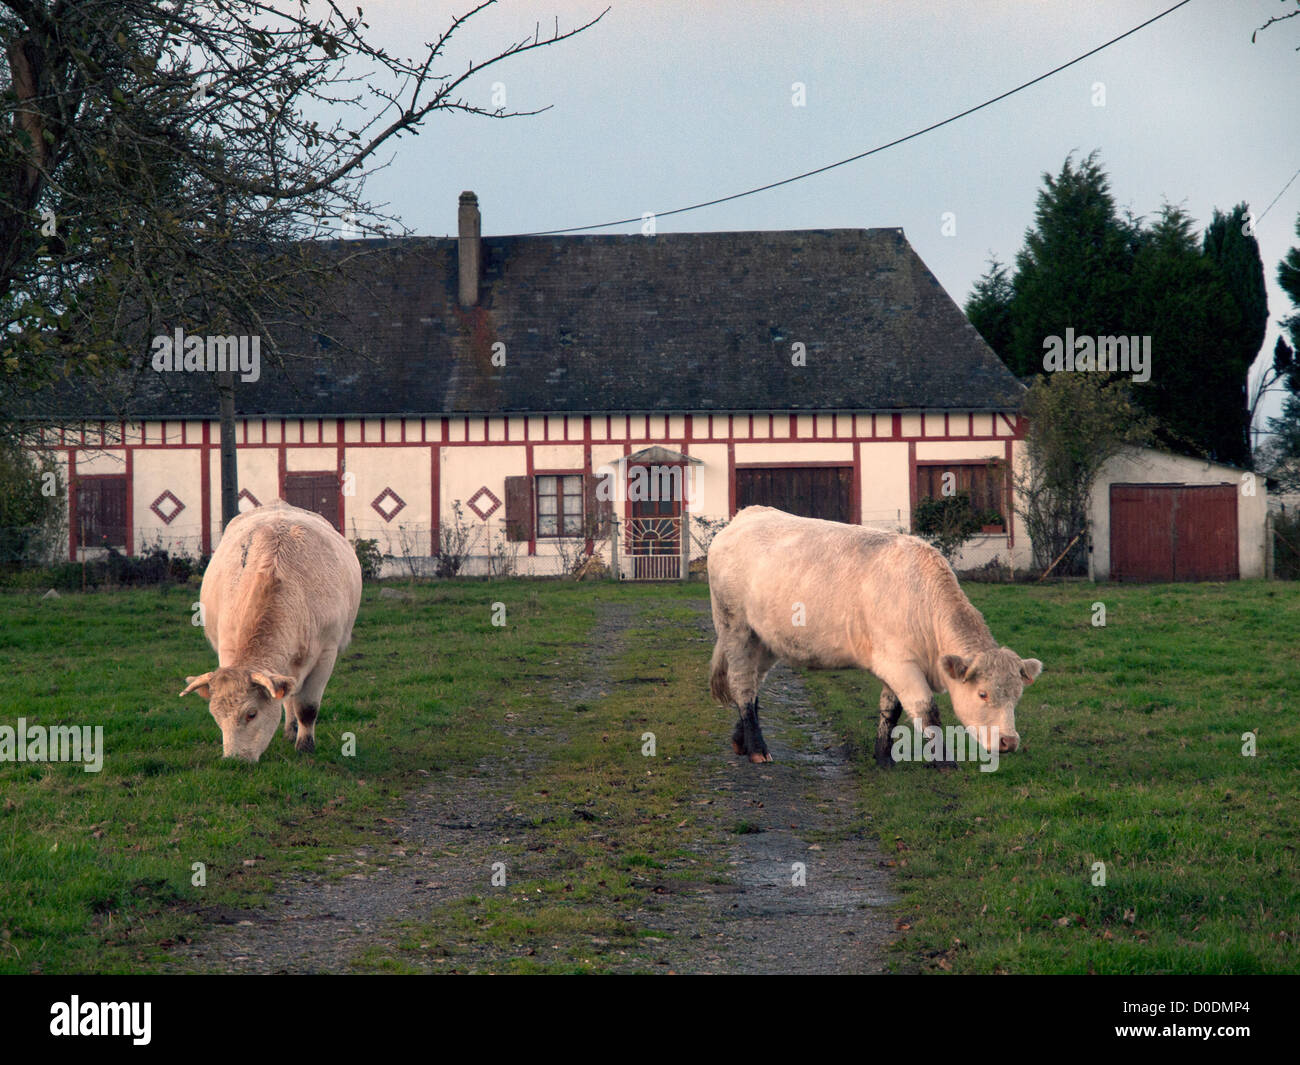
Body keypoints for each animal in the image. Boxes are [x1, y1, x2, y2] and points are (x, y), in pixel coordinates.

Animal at [180, 500, 362, 761]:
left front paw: (305, 746)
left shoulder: (326, 654)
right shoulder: (229, 648)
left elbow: (307, 707)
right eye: (216, 716)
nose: (234, 760)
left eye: (252, 713)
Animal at [707, 506, 1041, 766]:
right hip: (736, 627)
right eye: (983, 694)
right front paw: (945, 762)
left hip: (765, 639)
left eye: (1017, 695)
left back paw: (741, 741)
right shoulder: (900, 664)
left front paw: (883, 757)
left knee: (754, 682)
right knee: (742, 684)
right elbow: (926, 711)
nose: (1009, 742)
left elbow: (890, 710)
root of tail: (745, 516)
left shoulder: (894, 662)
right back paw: (757, 749)